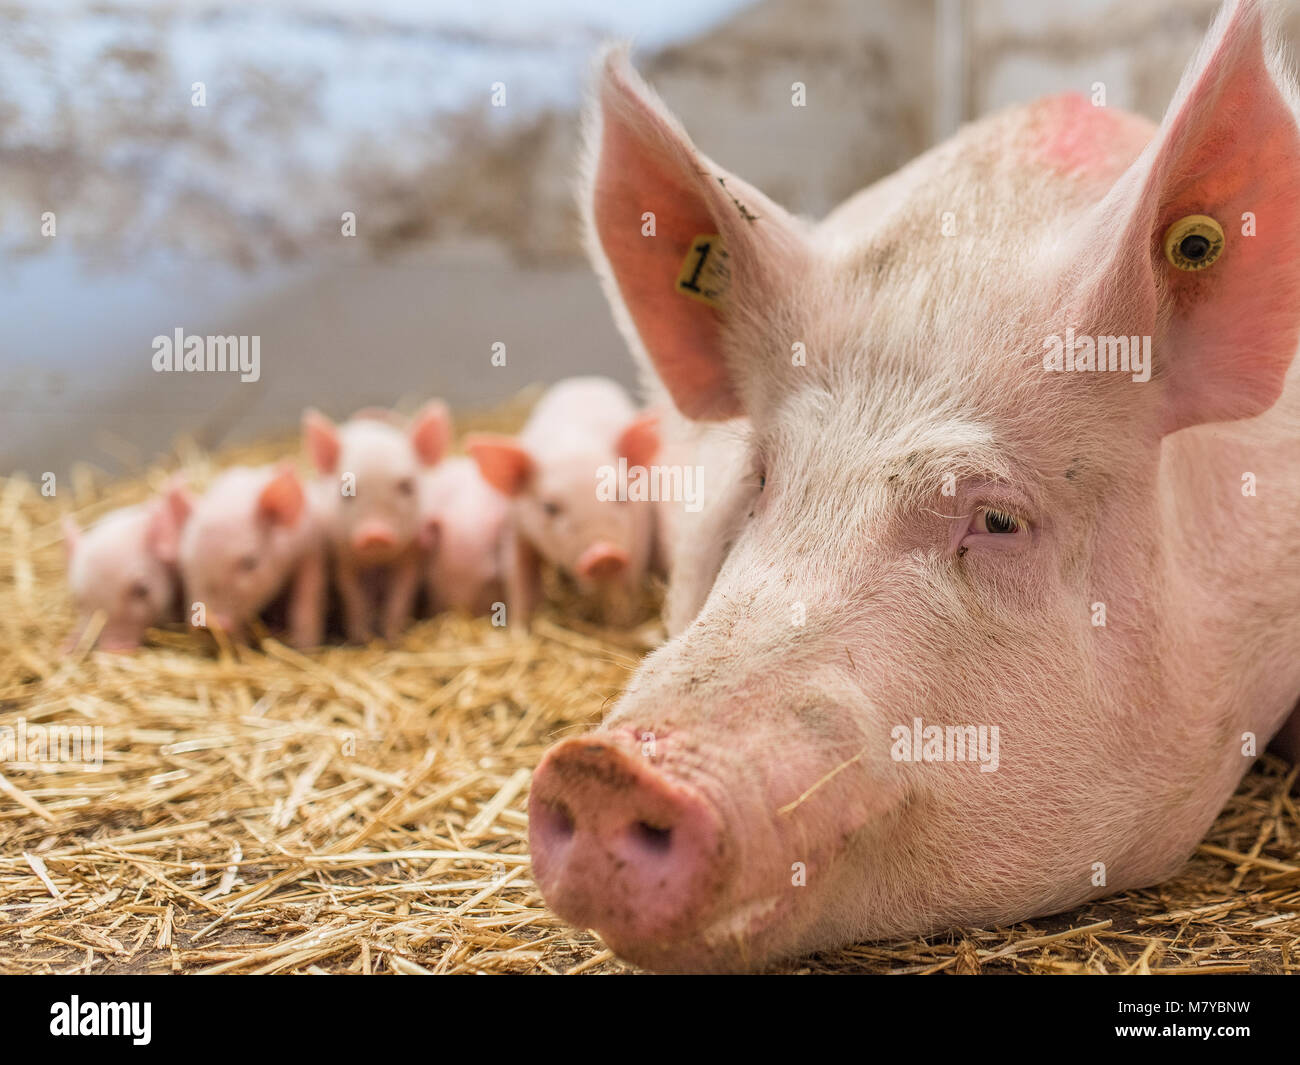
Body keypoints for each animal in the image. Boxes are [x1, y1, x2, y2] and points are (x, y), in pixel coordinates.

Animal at [177, 464, 326, 648]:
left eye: (250, 563)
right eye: (187, 563)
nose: (209, 621)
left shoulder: (310, 549)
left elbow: (305, 601)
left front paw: (305, 647)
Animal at [304, 403, 451, 642]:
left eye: (407, 486)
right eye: (345, 490)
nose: (375, 534)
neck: (377, 562)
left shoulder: (410, 557)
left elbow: (401, 595)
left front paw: (392, 637)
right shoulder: (343, 557)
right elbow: (353, 596)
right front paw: (361, 639)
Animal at [465, 376, 660, 628]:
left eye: (621, 496)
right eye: (549, 507)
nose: (603, 554)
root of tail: (584, 380)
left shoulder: (641, 525)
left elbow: (629, 577)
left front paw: (620, 622)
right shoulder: (516, 525)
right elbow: (519, 576)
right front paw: (519, 628)